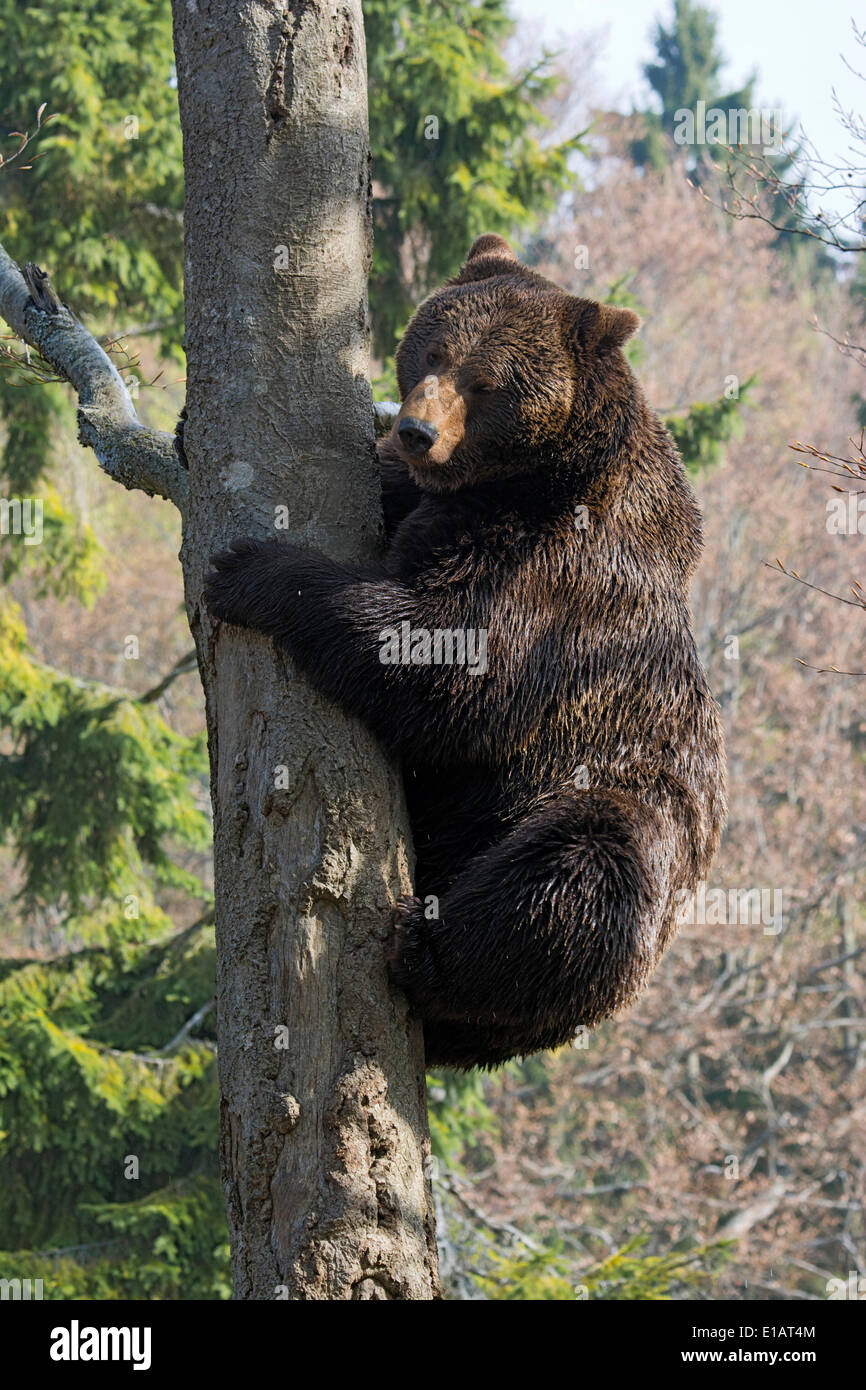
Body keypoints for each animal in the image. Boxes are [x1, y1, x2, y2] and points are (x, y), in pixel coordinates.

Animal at [204, 232, 726, 1070]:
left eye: (486, 383)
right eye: (432, 350)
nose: (416, 431)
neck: (529, 480)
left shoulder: (558, 576)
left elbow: (445, 664)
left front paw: (249, 568)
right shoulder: (428, 500)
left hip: (613, 812)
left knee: (580, 874)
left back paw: (427, 947)